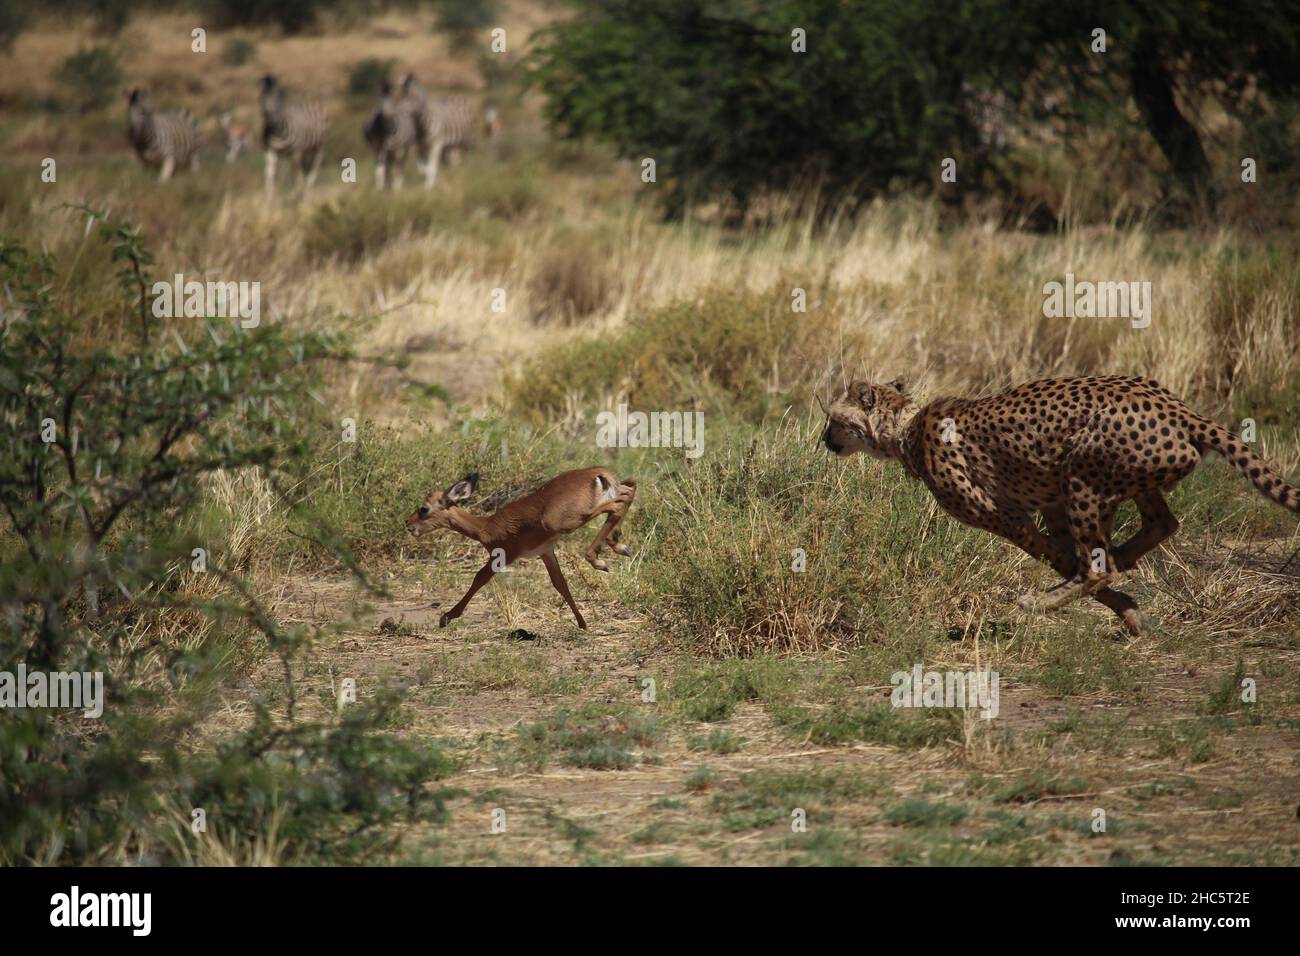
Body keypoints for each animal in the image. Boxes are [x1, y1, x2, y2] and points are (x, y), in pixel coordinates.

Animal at [821, 375, 1300, 635]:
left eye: (833, 418)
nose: (824, 439)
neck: (904, 426)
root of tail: (1178, 408)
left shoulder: (1008, 517)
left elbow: (1059, 557)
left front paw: (1118, 604)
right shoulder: (1048, 505)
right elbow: (1065, 551)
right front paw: (1130, 612)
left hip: (1081, 473)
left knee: (1100, 563)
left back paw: (1041, 600)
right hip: (1117, 479)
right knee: (1163, 523)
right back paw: (1123, 555)